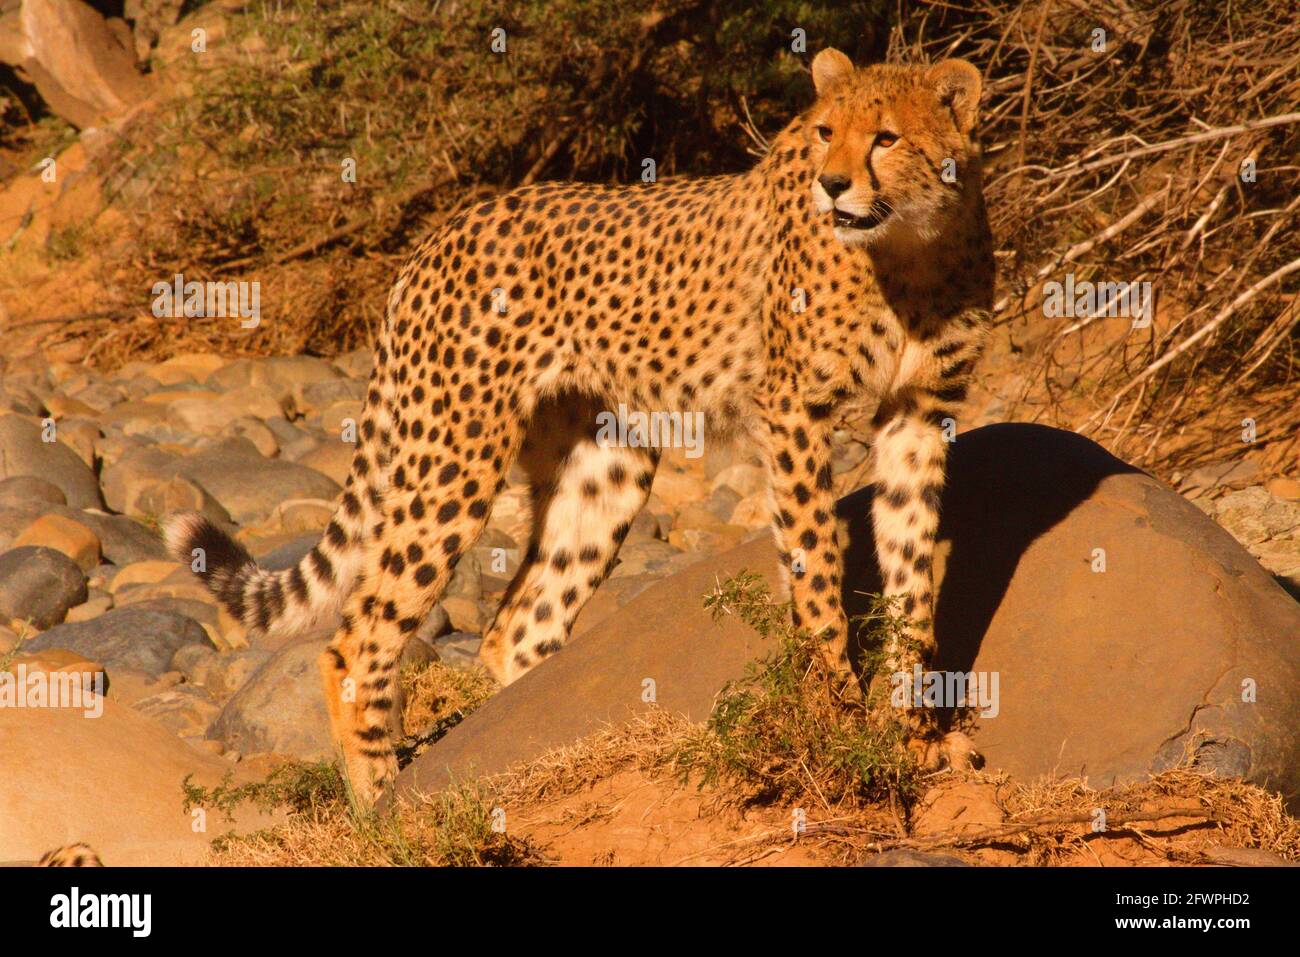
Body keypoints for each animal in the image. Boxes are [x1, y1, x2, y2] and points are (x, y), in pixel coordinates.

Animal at [167, 48, 995, 806]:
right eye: (826, 132)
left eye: (885, 137)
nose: (832, 184)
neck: (907, 250)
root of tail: (437, 235)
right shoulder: (793, 411)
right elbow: (818, 572)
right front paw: (839, 717)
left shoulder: (920, 416)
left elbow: (913, 570)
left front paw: (918, 732)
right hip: (454, 454)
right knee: (357, 640)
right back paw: (380, 803)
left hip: (606, 464)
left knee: (518, 626)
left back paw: (524, 758)